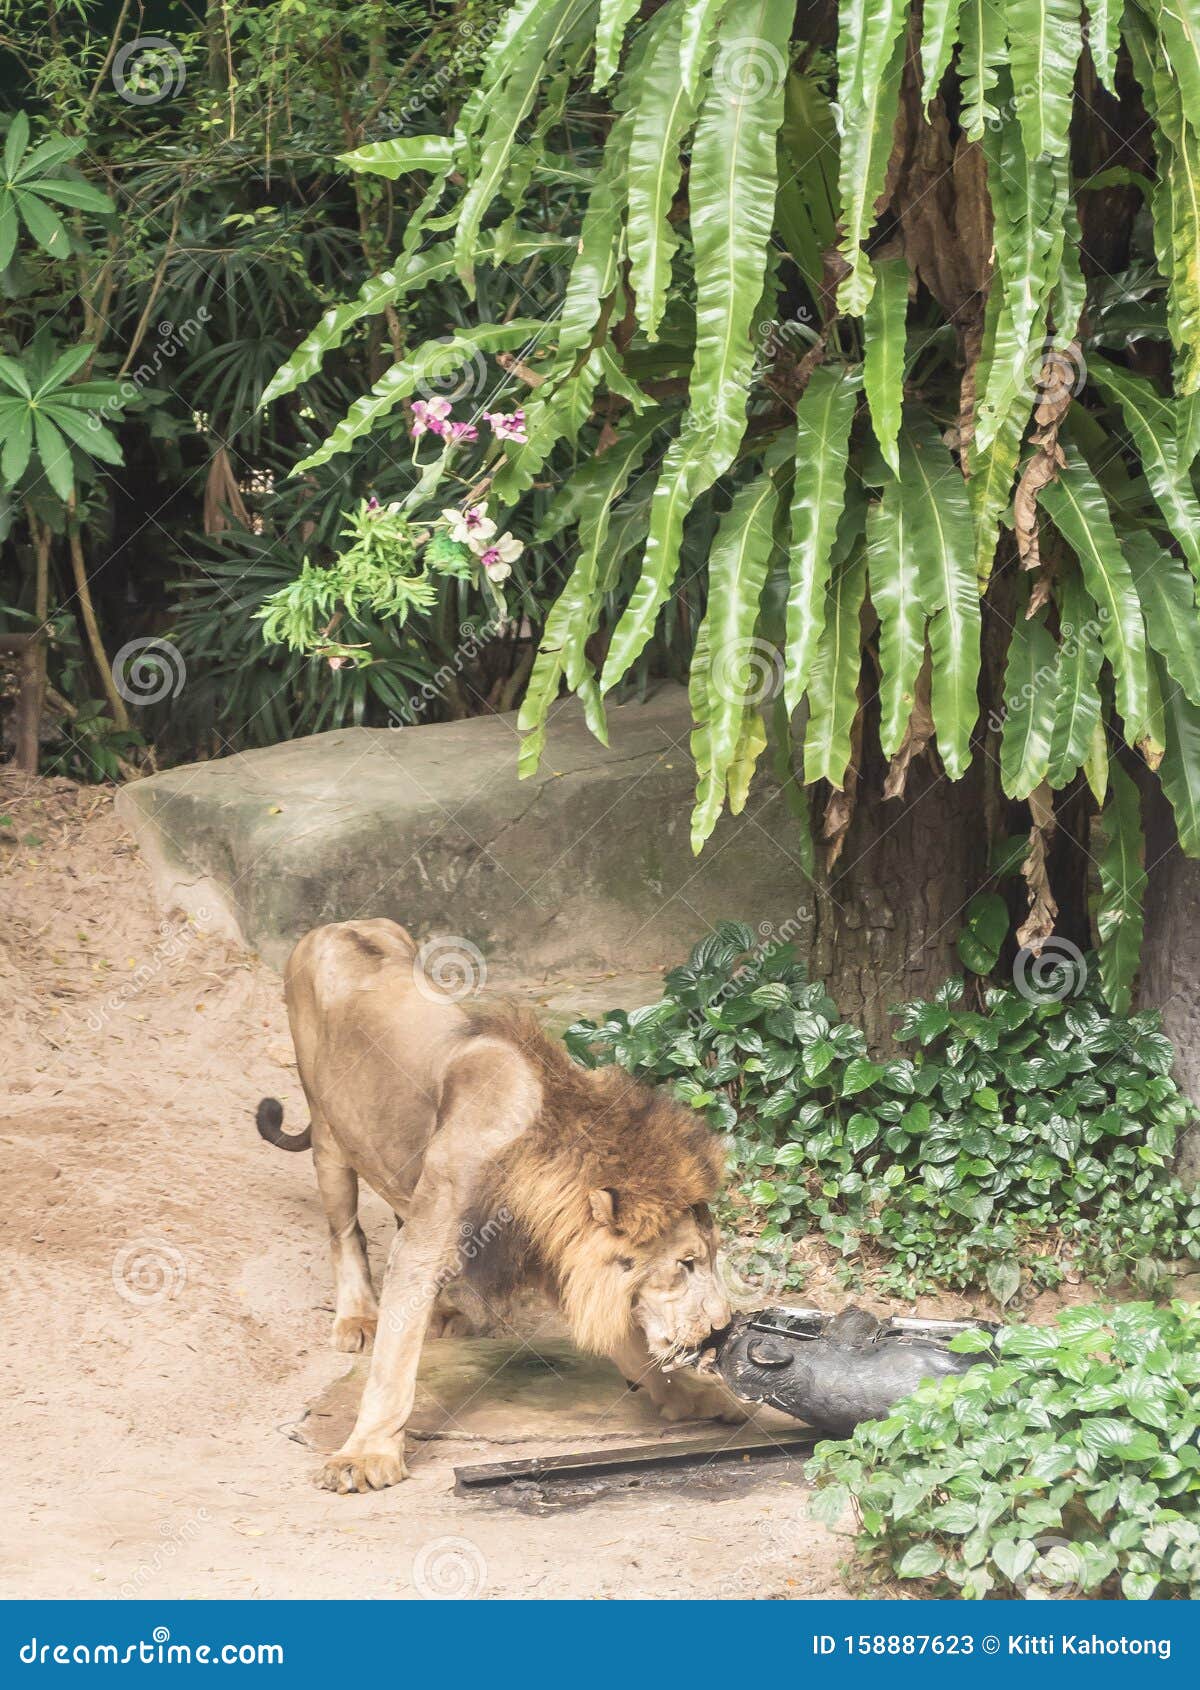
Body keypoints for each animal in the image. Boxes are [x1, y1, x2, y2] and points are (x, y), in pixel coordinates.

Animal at [256, 918, 741, 1493]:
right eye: (685, 1264)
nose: (723, 1328)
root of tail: (338, 924)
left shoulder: (551, 1249)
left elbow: (632, 1340)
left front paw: (690, 1396)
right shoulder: (428, 1243)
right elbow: (393, 1363)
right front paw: (365, 1455)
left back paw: (442, 1313)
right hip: (330, 1132)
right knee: (346, 1231)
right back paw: (358, 1317)